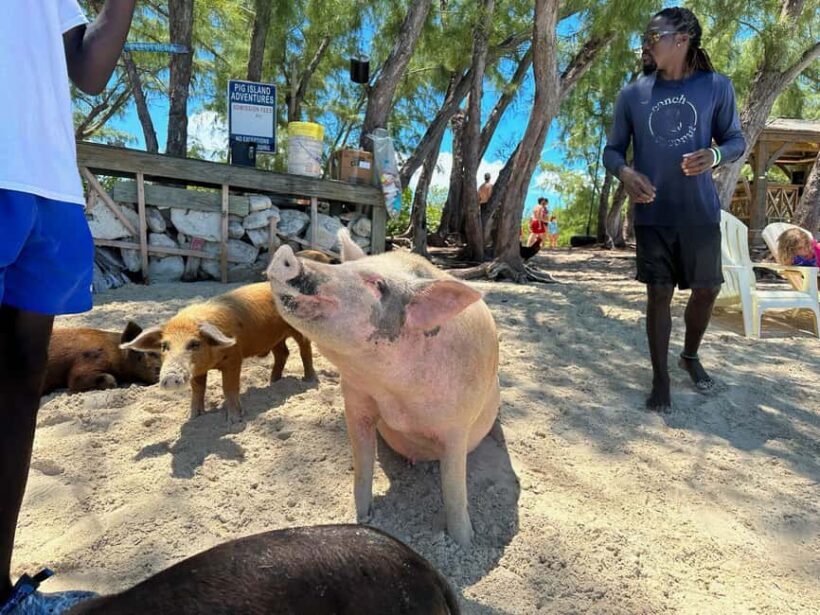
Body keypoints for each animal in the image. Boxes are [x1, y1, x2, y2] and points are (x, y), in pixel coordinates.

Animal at [121, 283, 316, 423]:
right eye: (164, 346)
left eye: (194, 344)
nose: (169, 377)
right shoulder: (197, 371)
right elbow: (198, 389)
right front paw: (194, 417)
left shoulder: (234, 358)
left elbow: (229, 387)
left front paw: (235, 420)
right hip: (274, 338)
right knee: (283, 353)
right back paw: (273, 382)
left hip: (300, 328)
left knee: (305, 350)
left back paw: (309, 381)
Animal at [266, 230, 500, 547]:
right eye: (342, 266)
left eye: (377, 284)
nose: (286, 253)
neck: (394, 394)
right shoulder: (356, 401)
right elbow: (363, 467)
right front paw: (363, 517)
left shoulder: (457, 426)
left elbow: (454, 488)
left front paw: (465, 542)